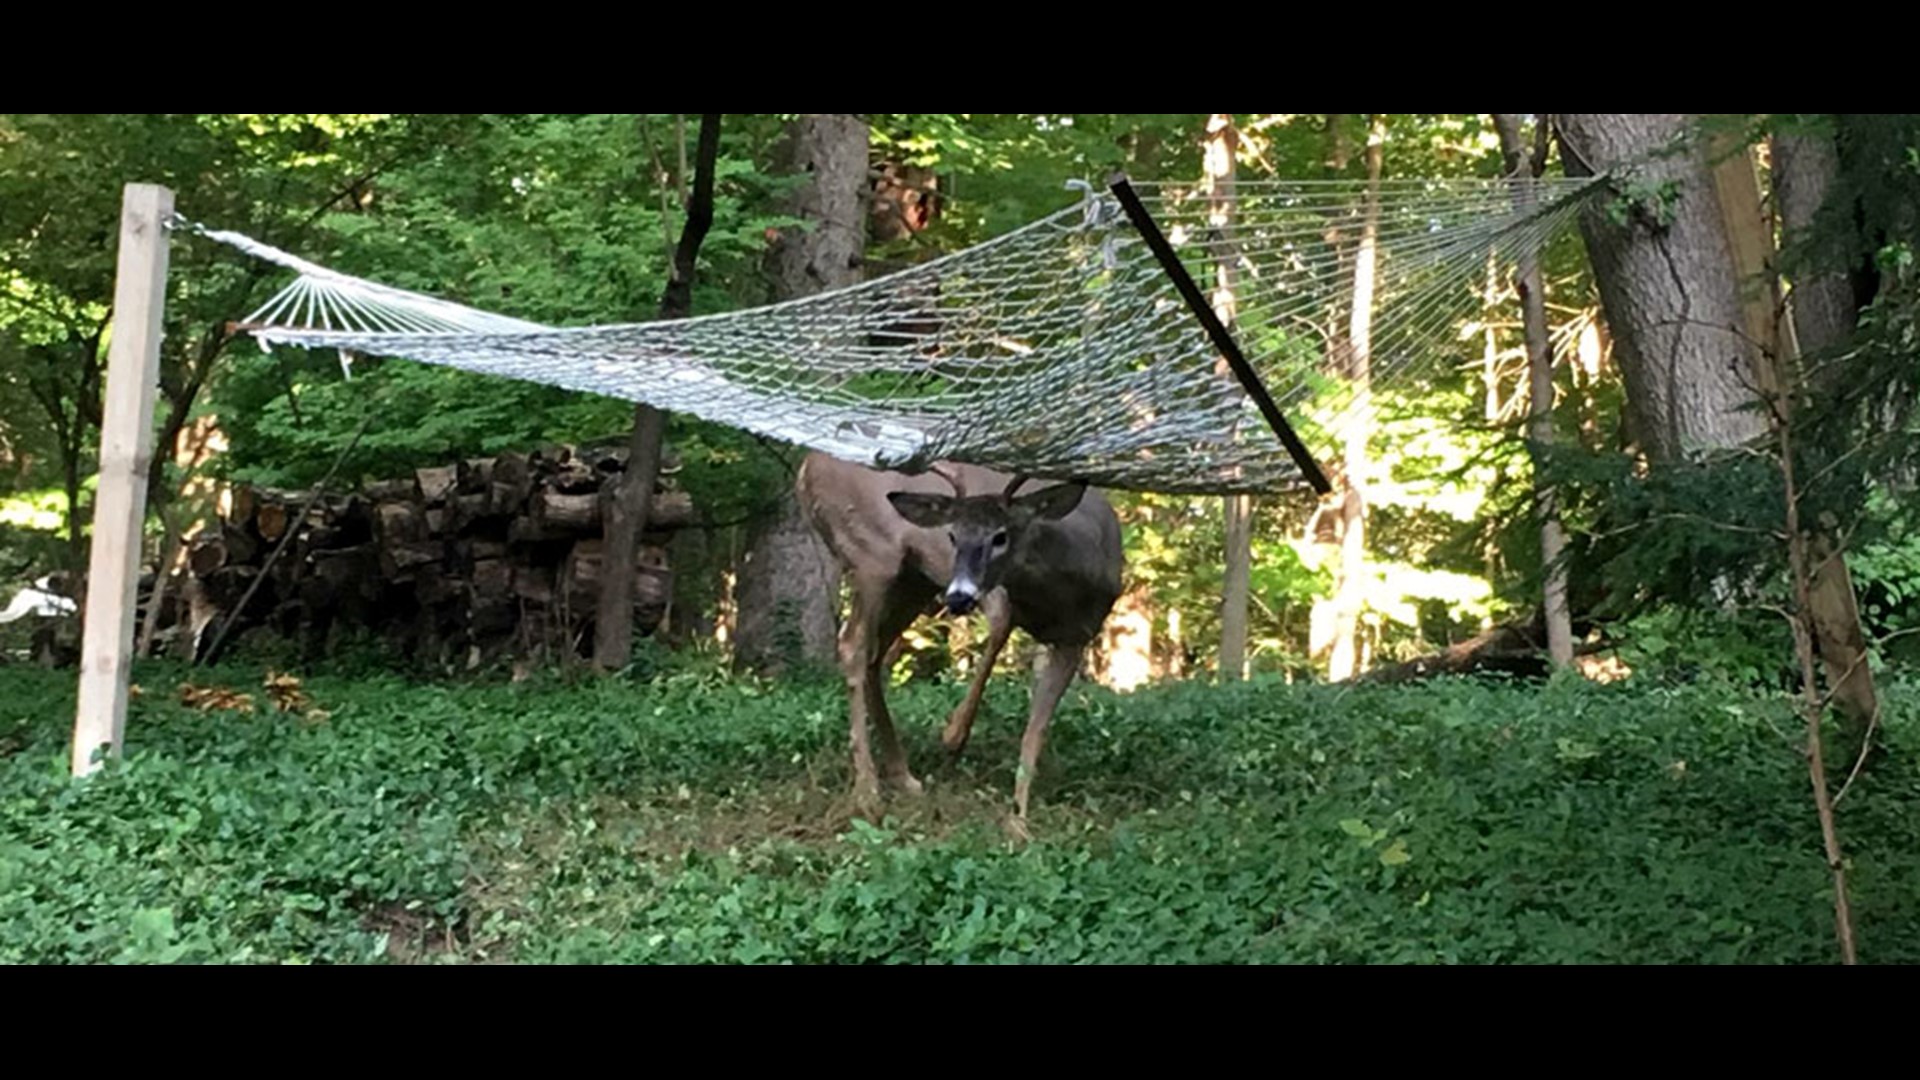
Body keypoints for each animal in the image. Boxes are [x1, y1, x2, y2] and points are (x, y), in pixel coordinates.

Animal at [795, 450, 1125, 839]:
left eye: (1001, 536)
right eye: (951, 535)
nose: (957, 597)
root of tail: (805, 469)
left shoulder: (1077, 636)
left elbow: (1036, 730)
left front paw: (1018, 822)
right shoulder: (1001, 594)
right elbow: (997, 631)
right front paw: (954, 733)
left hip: (913, 580)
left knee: (877, 652)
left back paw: (904, 776)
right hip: (871, 555)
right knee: (853, 644)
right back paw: (868, 792)